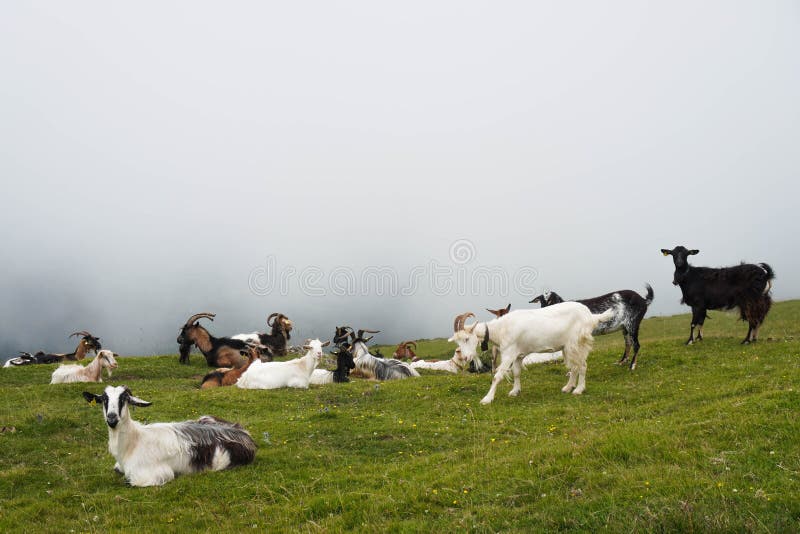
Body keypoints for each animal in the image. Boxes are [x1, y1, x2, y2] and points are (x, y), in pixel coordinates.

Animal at [82, 386, 256, 487]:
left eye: (124, 398)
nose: (112, 418)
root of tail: (245, 435)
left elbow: (130, 481)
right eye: (104, 399)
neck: (133, 443)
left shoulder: (156, 474)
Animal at [449, 304, 615, 404]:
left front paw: (487, 399)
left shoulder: (509, 354)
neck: (501, 329)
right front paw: (515, 391)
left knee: (582, 365)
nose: (465, 357)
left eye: (467, 338)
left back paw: (579, 389)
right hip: (567, 346)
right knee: (574, 367)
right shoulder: (518, 355)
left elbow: (497, 376)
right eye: (458, 343)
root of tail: (590, 316)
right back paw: (568, 388)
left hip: (577, 342)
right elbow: (516, 373)